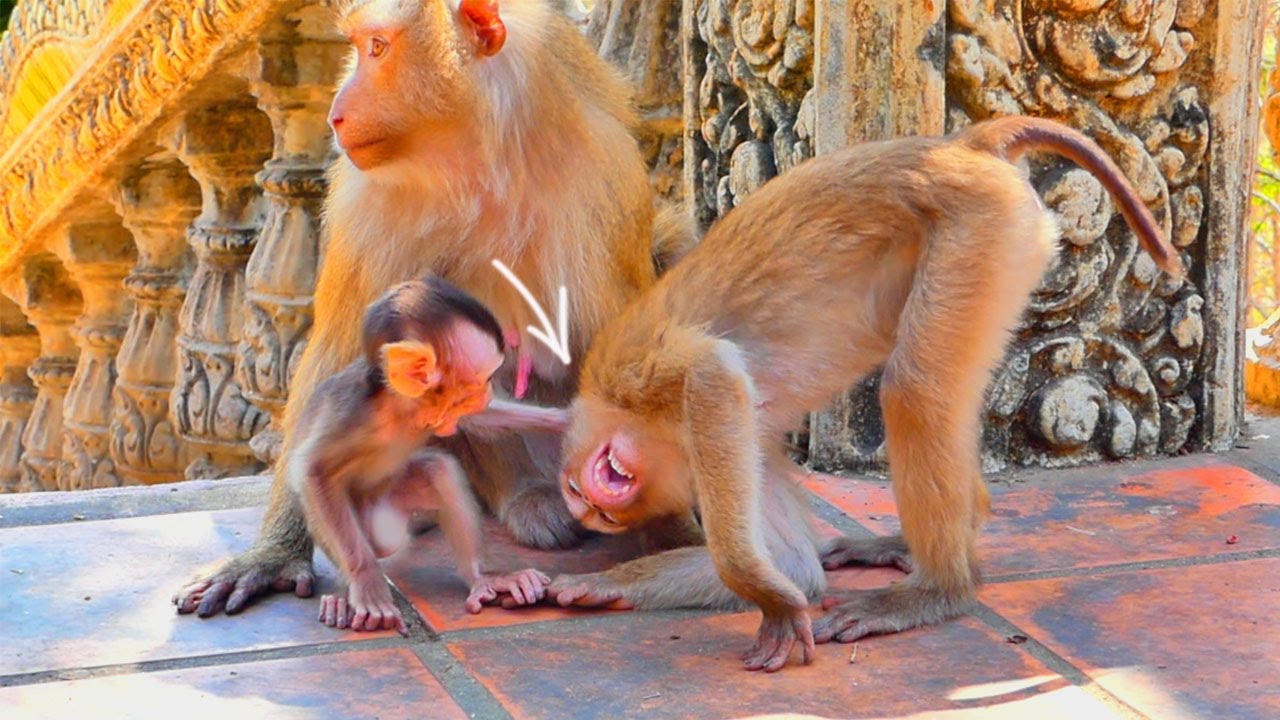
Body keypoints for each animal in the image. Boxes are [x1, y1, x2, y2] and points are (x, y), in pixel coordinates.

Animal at [288, 276, 566, 634]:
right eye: (484, 380)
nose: (488, 392)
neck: (401, 407)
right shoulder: (351, 415)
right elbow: (314, 470)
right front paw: (366, 582)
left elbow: (480, 420)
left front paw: (562, 419)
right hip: (358, 523)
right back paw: (343, 595)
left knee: (438, 471)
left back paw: (483, 578)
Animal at [540, 116, 1184, 672]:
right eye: (595, 509)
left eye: (600, 493)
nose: (587, 505)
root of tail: (963, 146)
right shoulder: (752, 443)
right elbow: (795, 566)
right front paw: (605, 586)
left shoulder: (642, 372)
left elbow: (714, 374)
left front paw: (770, 603)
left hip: (979, 231)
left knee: (916, 390)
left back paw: (939, 590)